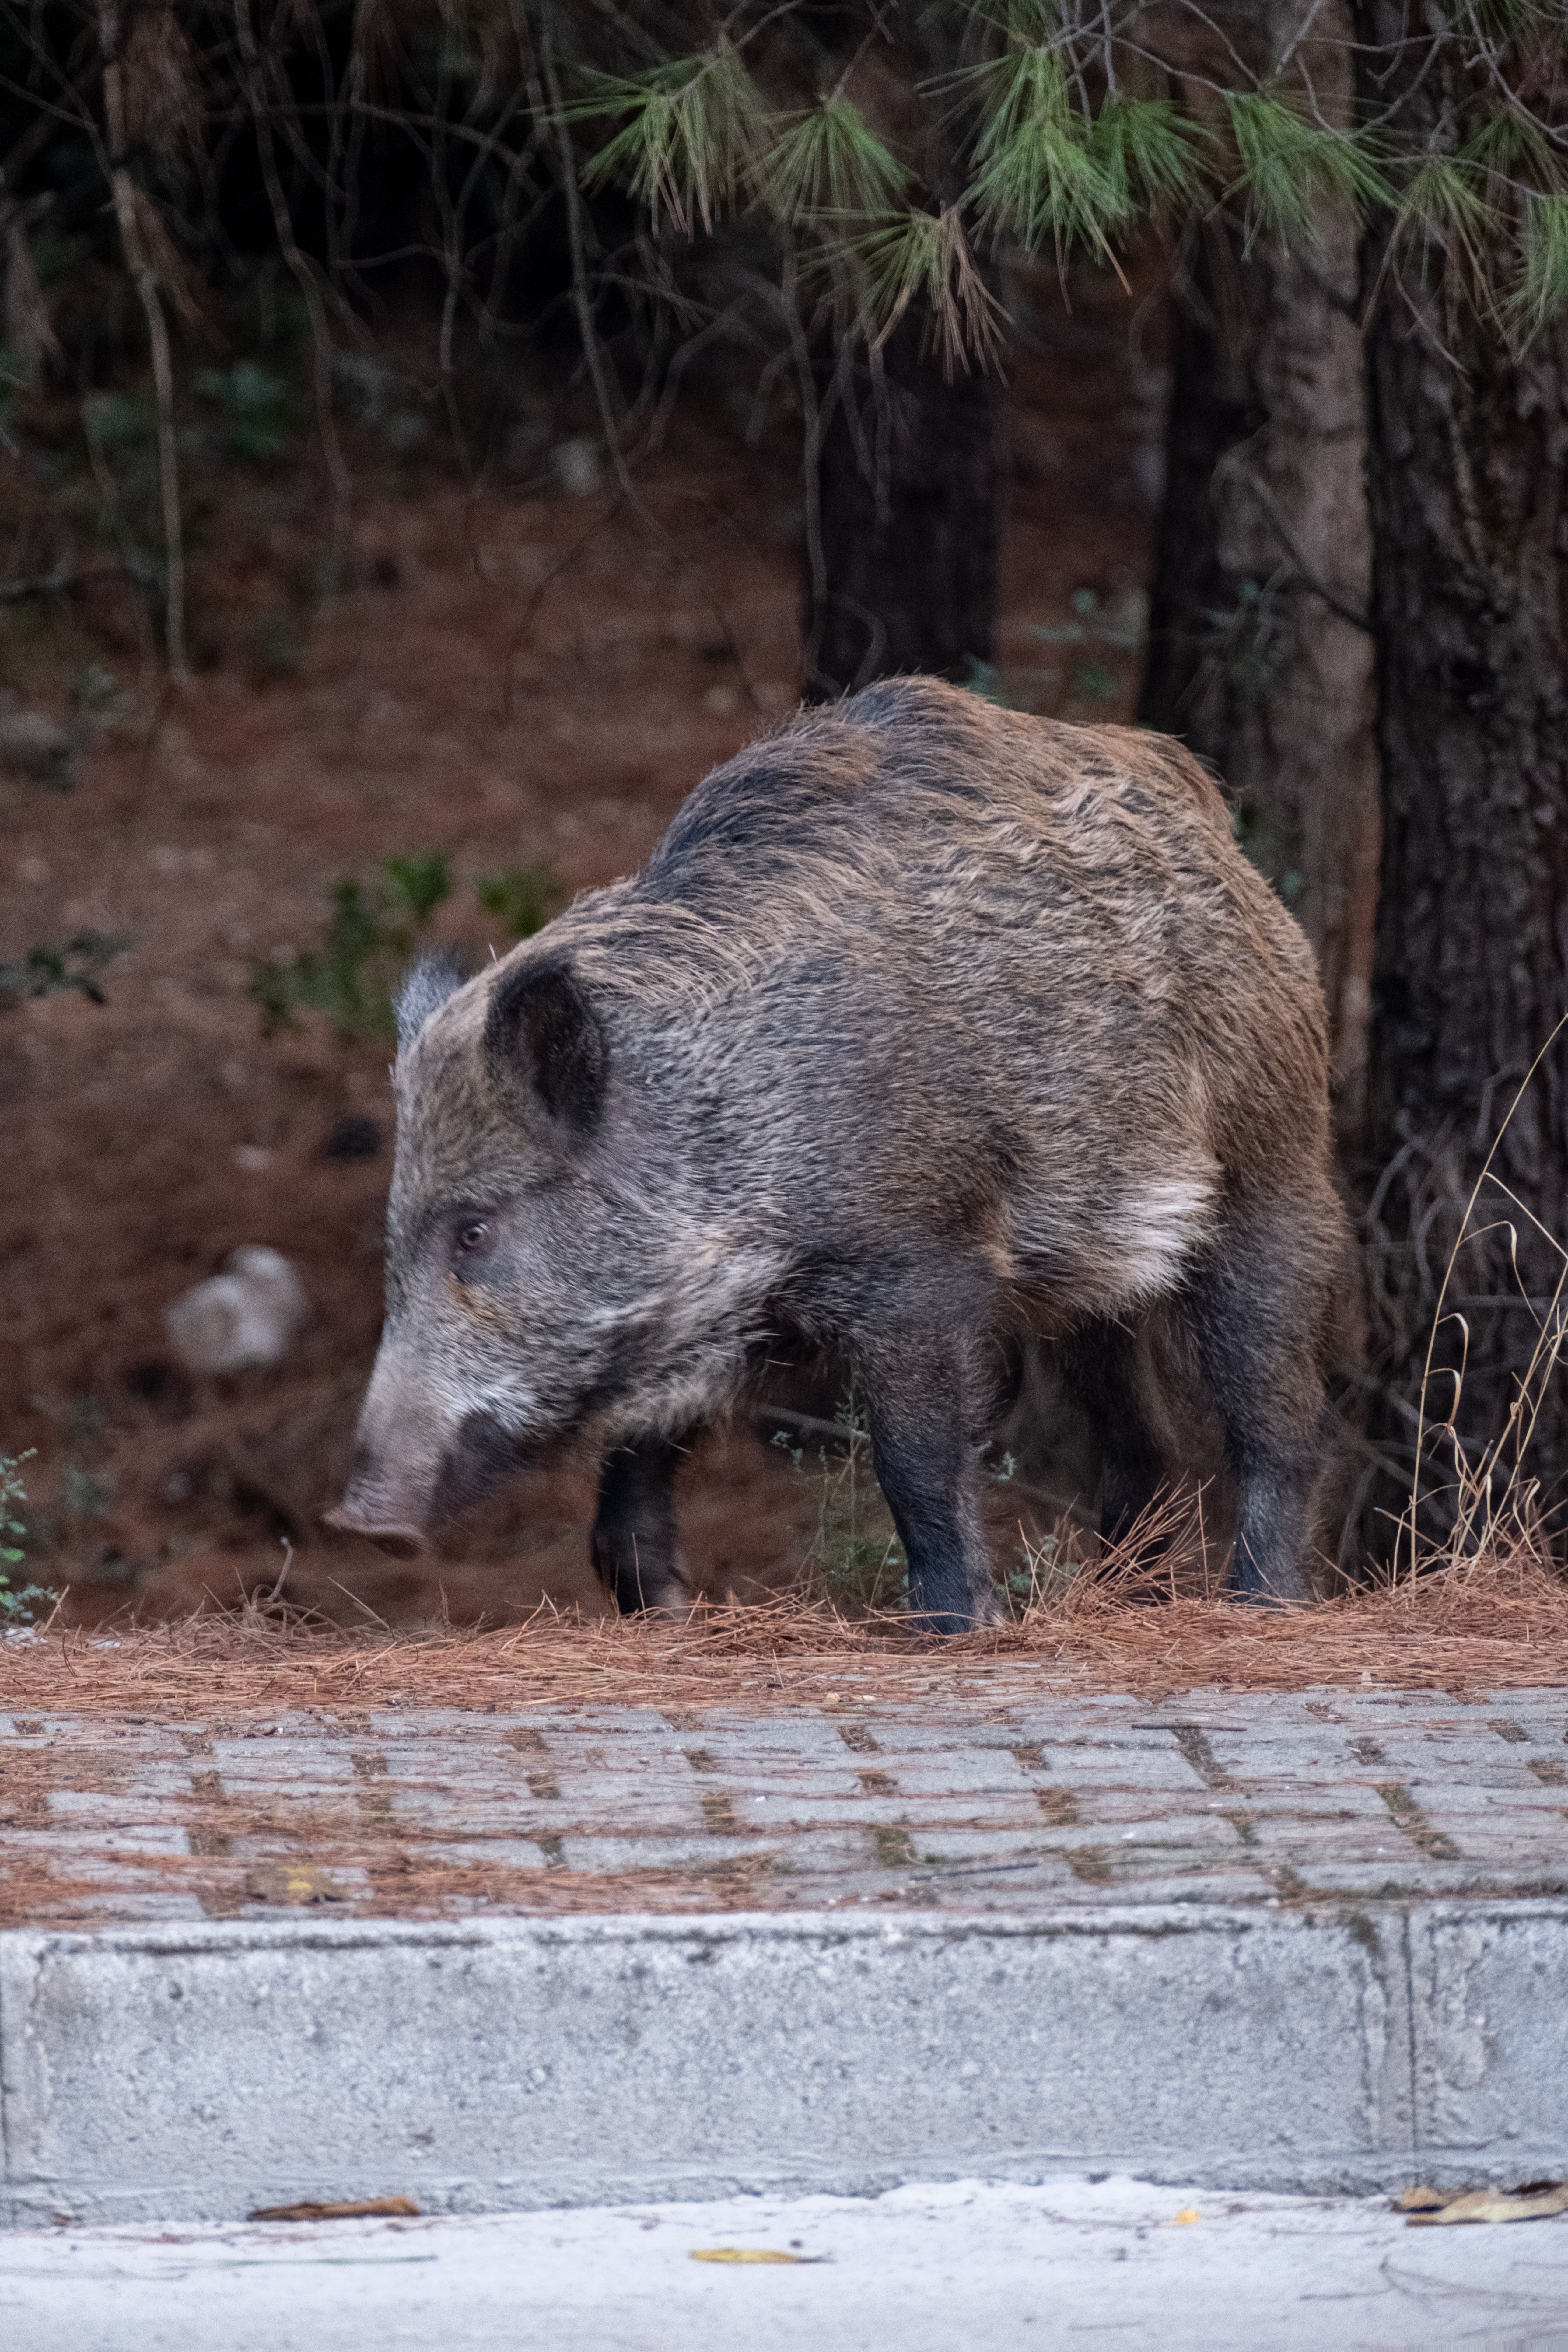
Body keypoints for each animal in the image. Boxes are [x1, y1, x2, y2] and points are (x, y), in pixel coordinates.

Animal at [326, 677, 1349, 1627]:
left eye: (475, 1230)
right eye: (395, 1232)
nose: (360, 1519)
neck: (730, 1118)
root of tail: (1202, 809)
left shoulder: (915, 1263)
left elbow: (917, 1460)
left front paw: (956, 1630)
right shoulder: (713, 1314)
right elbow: (637, 1460)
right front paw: (663, 1614)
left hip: (1273, 1162)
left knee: (1279, 1415)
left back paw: (1261, 1605)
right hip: (1086, 1275)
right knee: (1143, 1440)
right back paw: (1125, 1596)